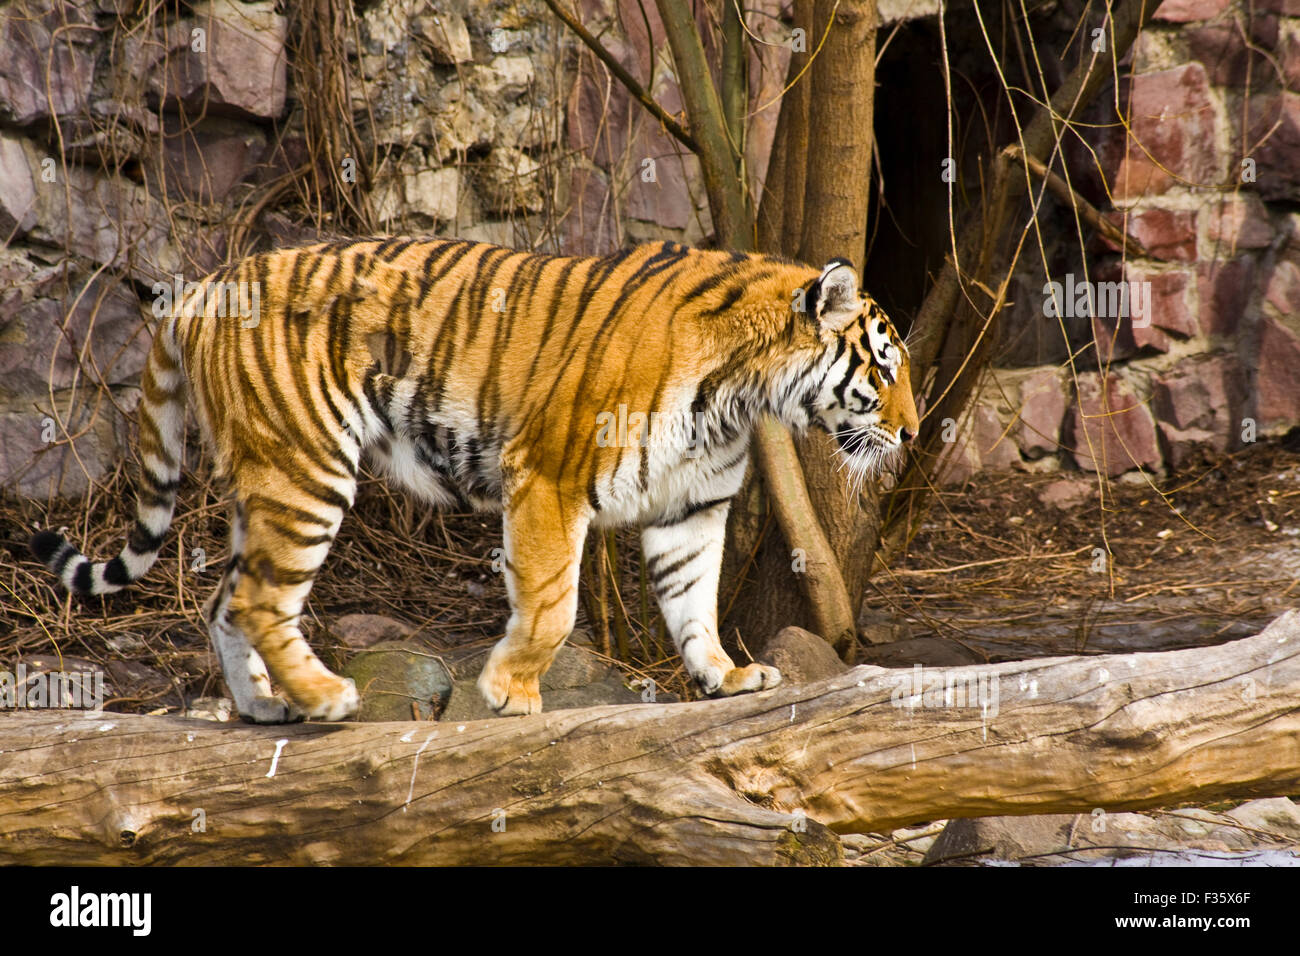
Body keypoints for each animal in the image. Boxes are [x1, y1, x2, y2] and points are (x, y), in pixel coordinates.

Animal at [31, 238, 919, 723]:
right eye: (882, 368)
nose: (913, 433)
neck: (740, 394)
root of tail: (208, 286)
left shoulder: (693, 507)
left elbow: (694, 604)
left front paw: (726, 678)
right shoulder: (552, 476)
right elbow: (554, 606)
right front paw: (510, 691)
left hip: (267, 478)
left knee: (223, 602)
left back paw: (266, 706)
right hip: (306, 467)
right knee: (255, 599)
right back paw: (323, 697)